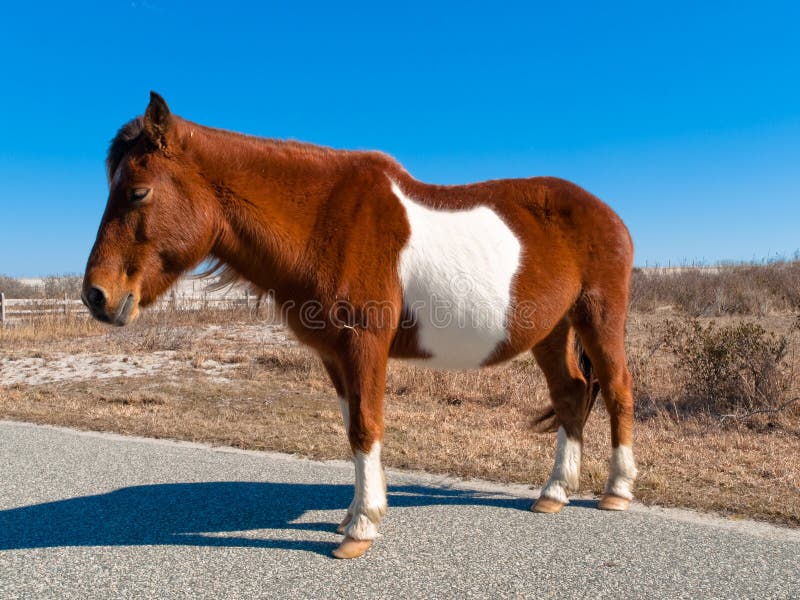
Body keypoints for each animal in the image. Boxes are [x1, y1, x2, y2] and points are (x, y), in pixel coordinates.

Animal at [83, 92, 637, 559]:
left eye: (138, 192)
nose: (97, 296)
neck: (324, 220)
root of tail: (609, 215)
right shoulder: (335, 355)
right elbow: (352, 431)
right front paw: (352, 515)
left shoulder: (364, 345)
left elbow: (367, 426)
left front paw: (362, 529)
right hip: (551, 330)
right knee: (570, 394)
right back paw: (554, 493)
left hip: (598, 315)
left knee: (616, 389)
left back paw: (616, 491)